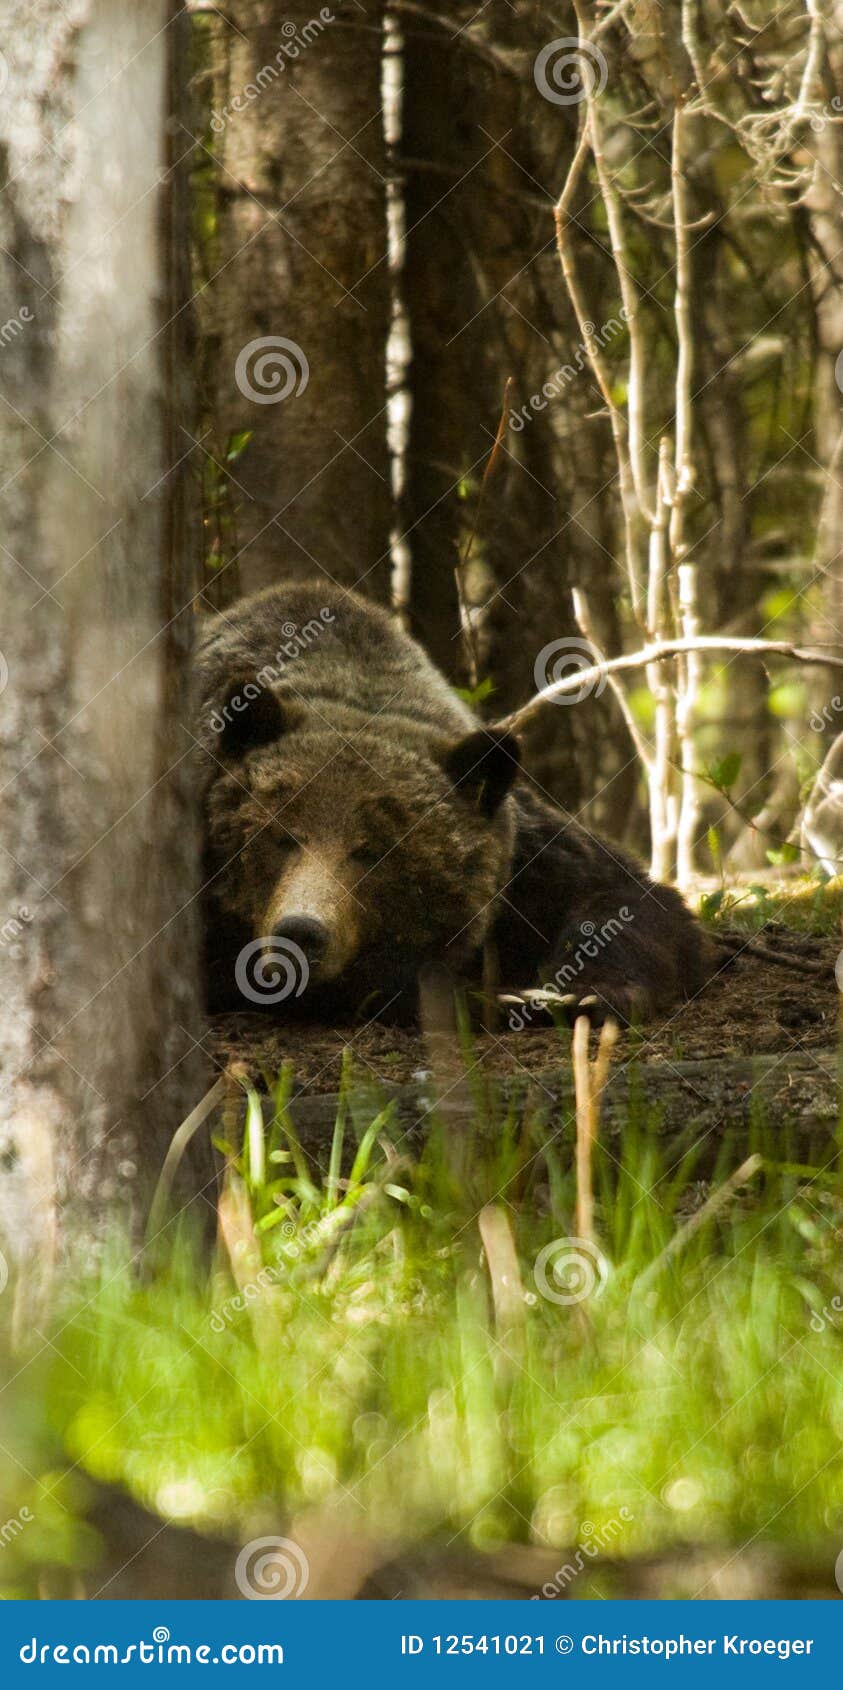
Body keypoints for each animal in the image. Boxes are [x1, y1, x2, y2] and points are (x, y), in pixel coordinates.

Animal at [194, 582, 710, 1024]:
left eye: (373, 851)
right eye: (279, 836)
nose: (301, 933)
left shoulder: (524, 859)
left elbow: (631, 899)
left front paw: (591, 992)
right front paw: (490, 996)